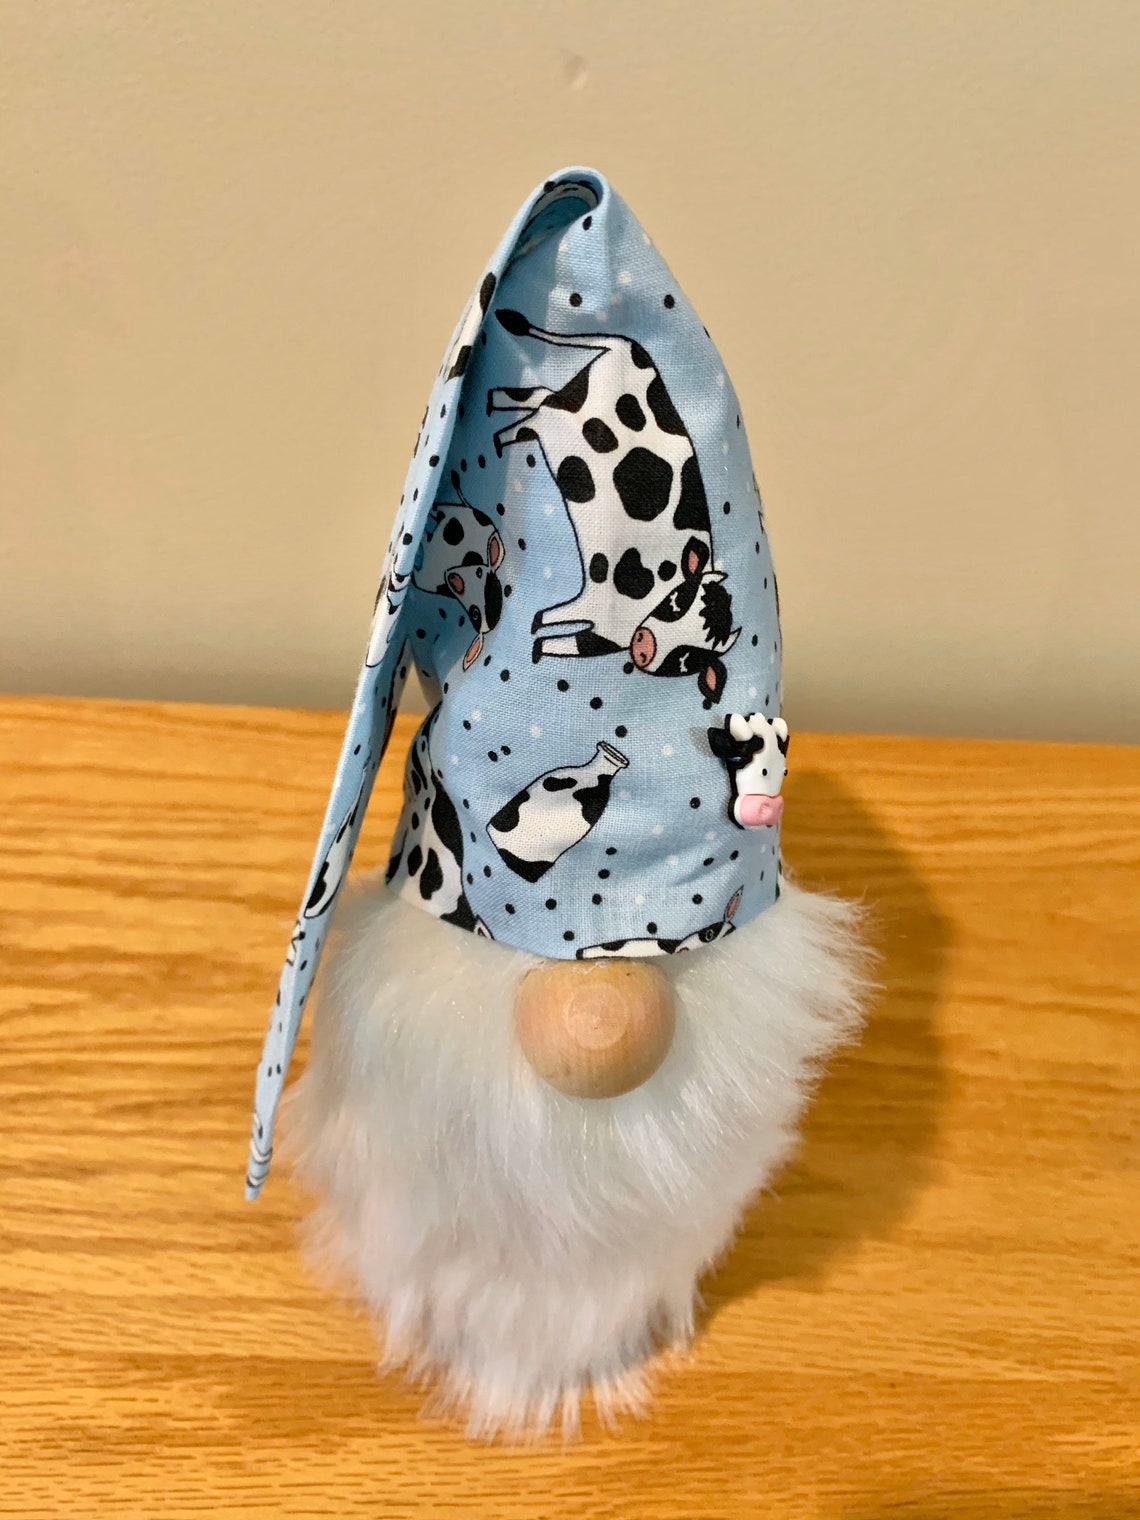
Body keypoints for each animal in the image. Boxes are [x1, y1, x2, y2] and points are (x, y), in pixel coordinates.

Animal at [488, 310, 739, 702]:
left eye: (687, 658)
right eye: (678, 602)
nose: (645, 647)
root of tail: (635, 351)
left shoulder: (602, 627)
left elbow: (563, 632)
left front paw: (539, 632)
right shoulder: (600, 603)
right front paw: (538, 633)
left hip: (572, 398)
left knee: (542, 396)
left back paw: (500, 405)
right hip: (569, 413)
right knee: (541, 409)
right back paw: (499, 427)